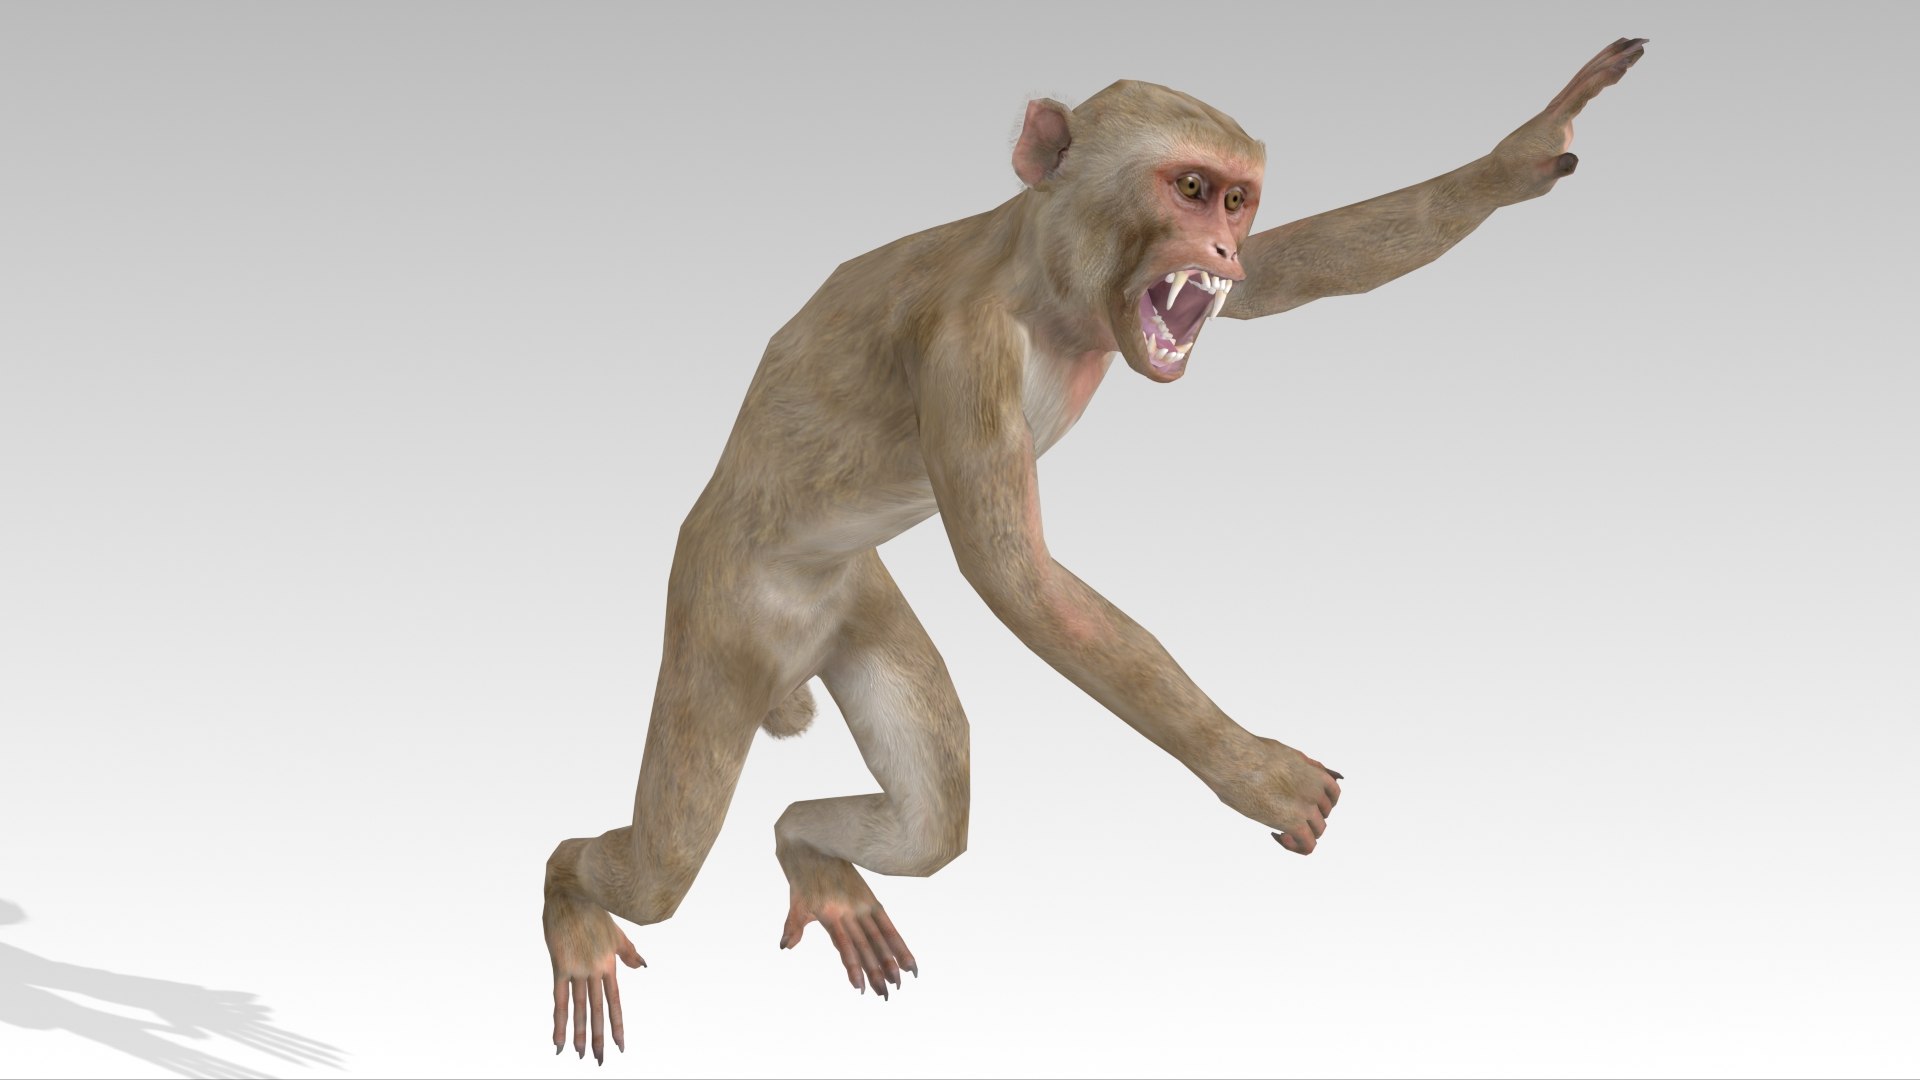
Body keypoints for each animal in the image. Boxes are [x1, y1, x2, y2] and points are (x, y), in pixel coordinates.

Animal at [542, 38, 1648, 1062]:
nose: (1219, 241)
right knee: (664, 864)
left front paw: (1519, 154)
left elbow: (1289, 270)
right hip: (723, 617)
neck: (1045, 294)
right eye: (1188, 186)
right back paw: (573, 896)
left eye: (1238, 200)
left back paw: (807, 848)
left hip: (857, 609)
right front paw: (1251, 768)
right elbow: (1017, 577)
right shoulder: (967, 350)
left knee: (930, 821)